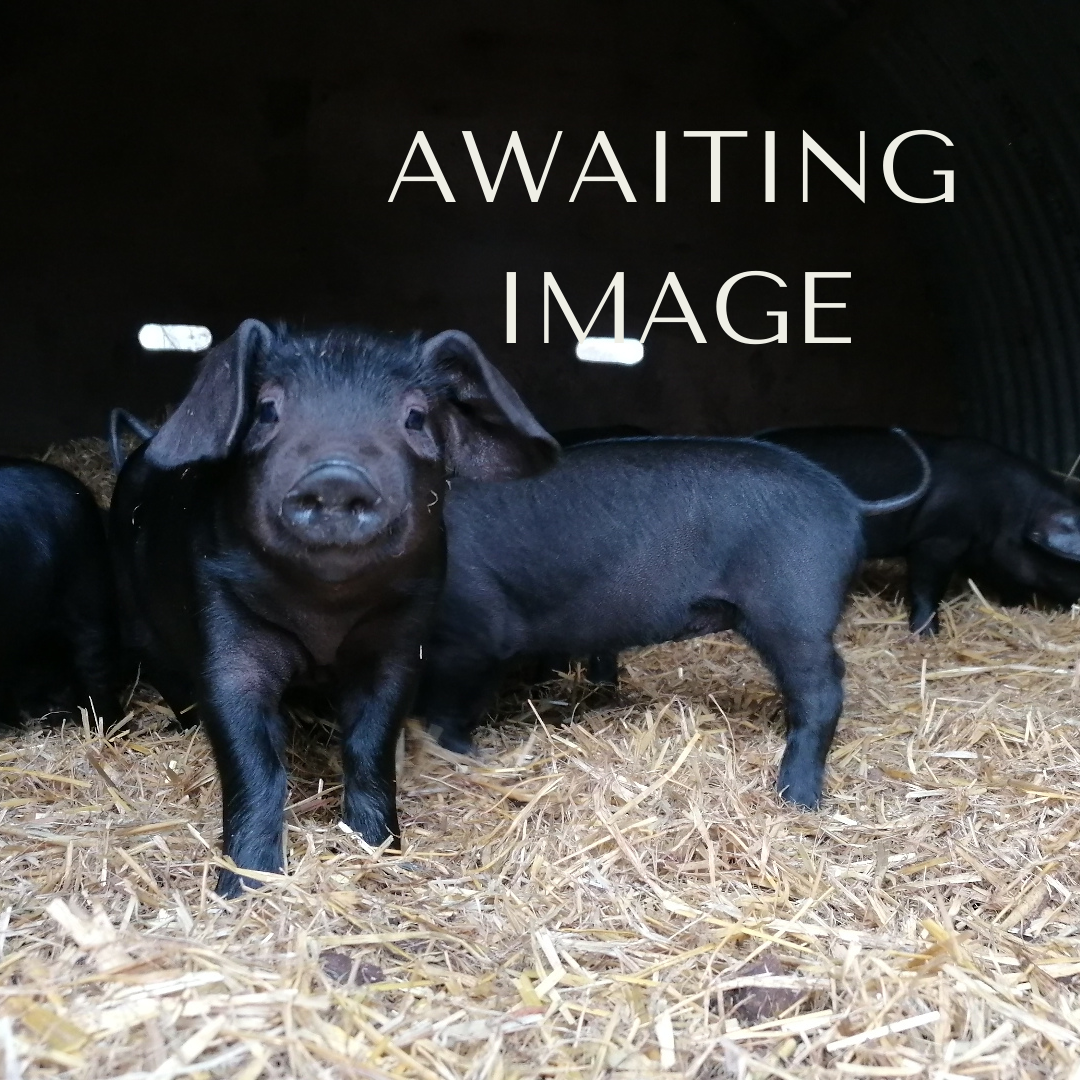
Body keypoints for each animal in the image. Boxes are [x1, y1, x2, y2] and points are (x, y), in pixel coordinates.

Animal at [110, 319, 557, 896]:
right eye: (267, 410)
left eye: (415, 417)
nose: (336, 476)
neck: (325, 614)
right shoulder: (226, 635)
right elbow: (252, 760)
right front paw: (245, 886)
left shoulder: (397, 645)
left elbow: (370, 747)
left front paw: (380, 850)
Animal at [419, 434, 930, 810]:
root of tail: (848, 500)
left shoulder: (476, 636)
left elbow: (452, 703)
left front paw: (456, 751)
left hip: (794, 607)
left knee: (822, 691)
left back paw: (795, 798)